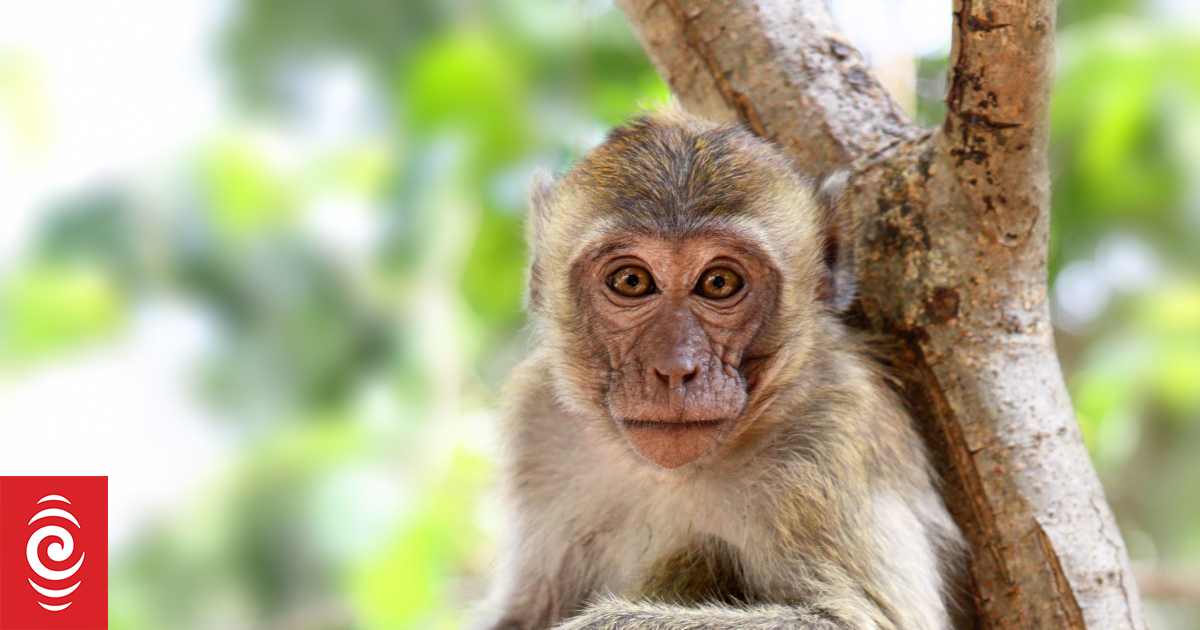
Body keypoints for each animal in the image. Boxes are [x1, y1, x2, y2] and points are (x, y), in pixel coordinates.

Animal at [478, 108, 966, 630]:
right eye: (631, 281)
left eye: (718, 282)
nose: (675, 369)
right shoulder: (537, 420)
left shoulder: (837, 431)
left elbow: (857, 620)